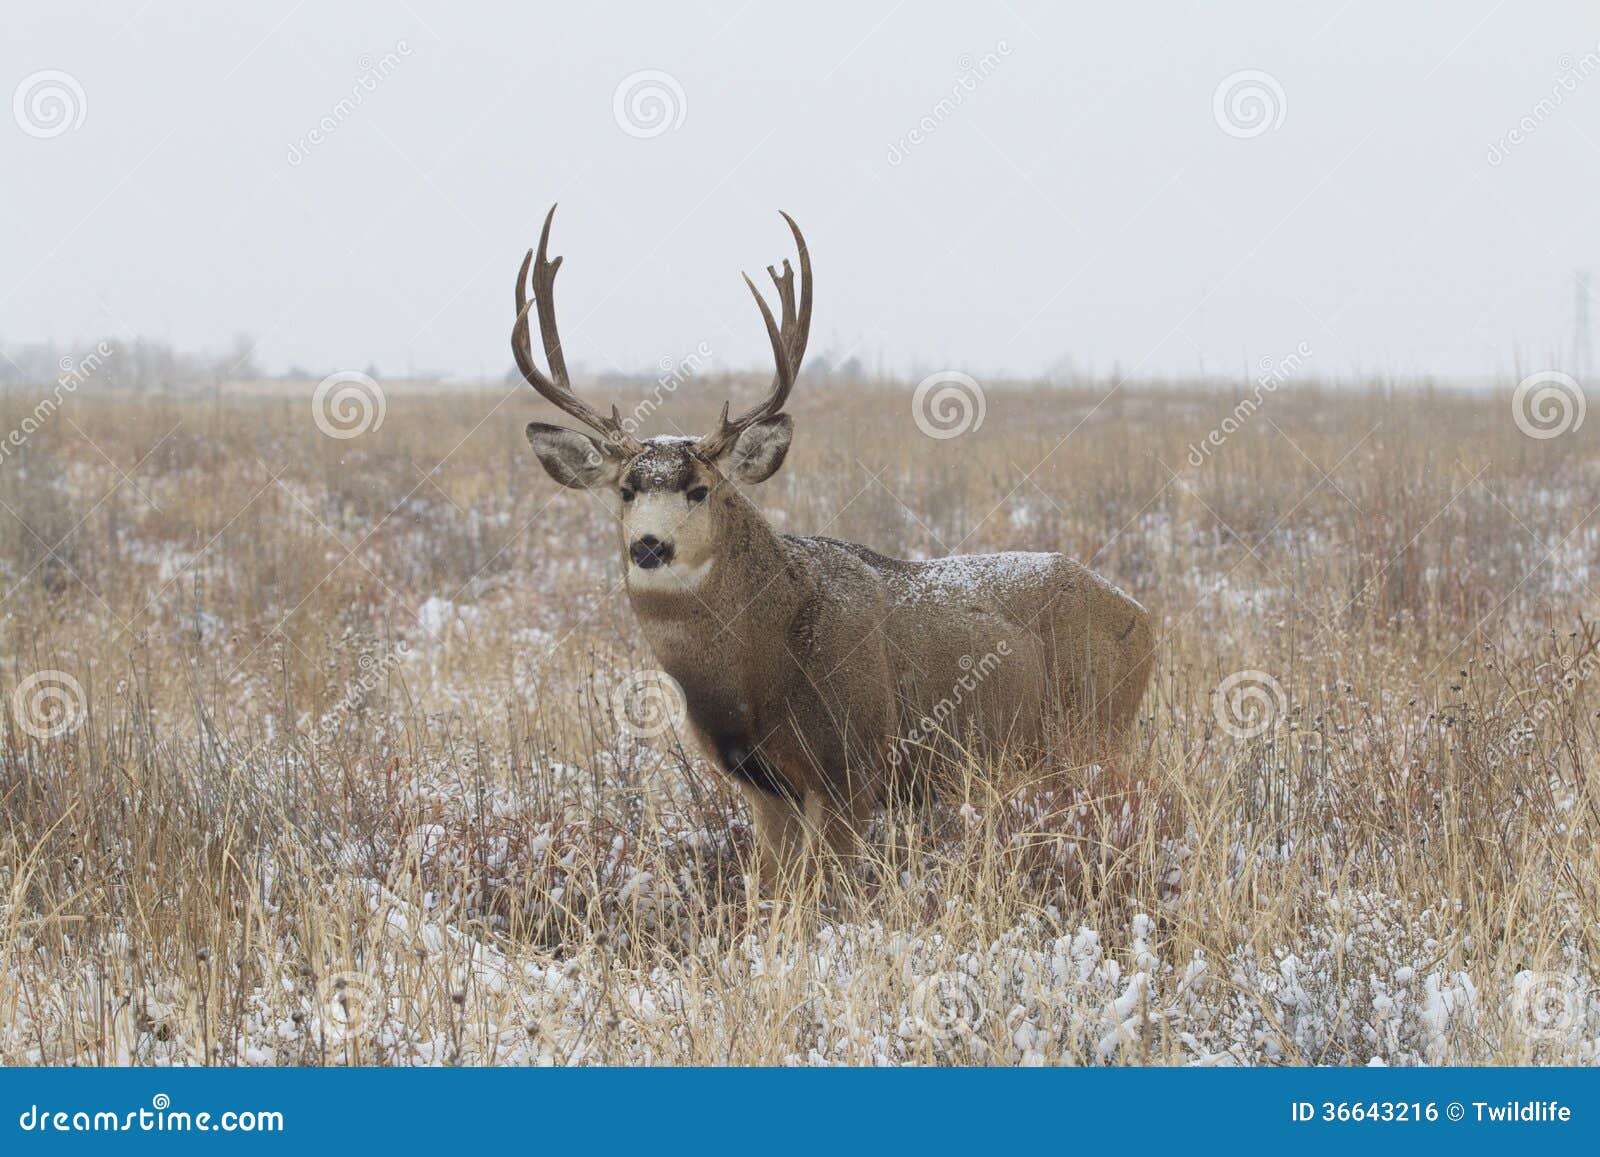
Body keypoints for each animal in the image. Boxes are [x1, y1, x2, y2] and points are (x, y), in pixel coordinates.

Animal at [514, 206, 1154, 883]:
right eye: (627, 489)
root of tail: (1143, 616)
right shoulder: (764, 786)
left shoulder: (855, 763)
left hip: (1097, 730)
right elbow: (771, 888)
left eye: (700, 489)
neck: (756, 667)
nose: (649, 547)